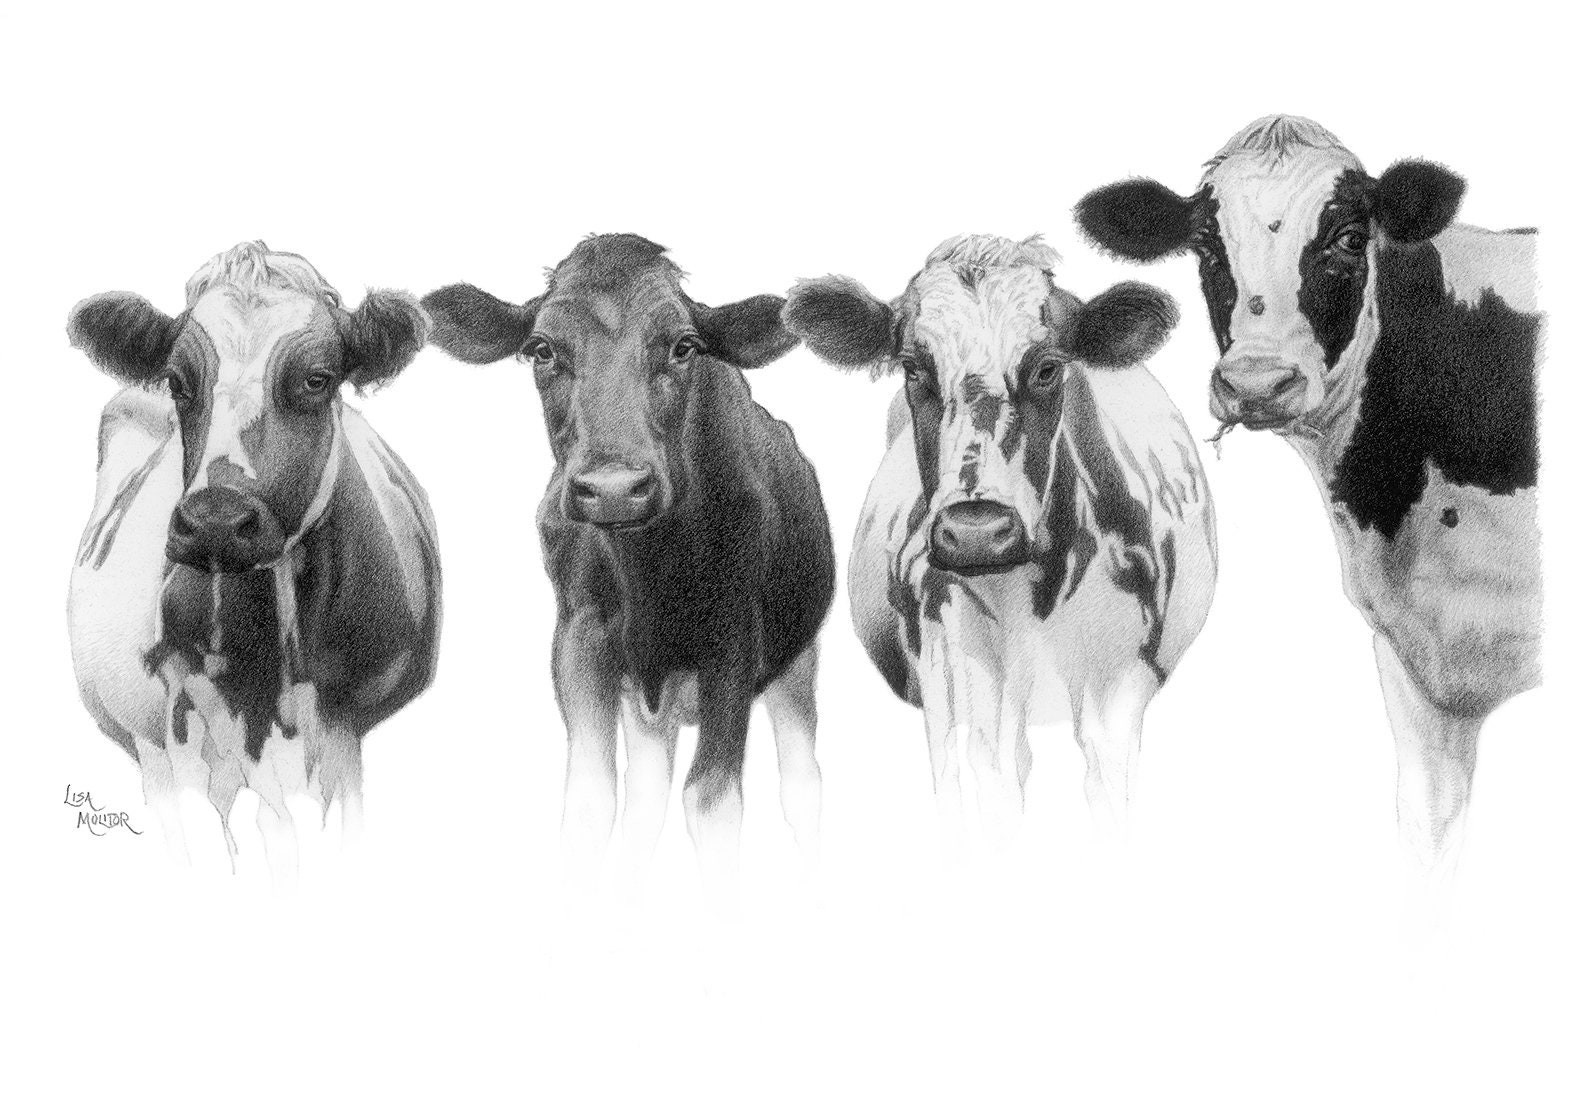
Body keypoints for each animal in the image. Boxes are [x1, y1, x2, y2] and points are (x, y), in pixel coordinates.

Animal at [67, 242, 440, 866]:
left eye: (317, 378)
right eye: (177, 380)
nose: (214, 524)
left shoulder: (345, 728)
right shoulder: (187, 729)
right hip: (150, 747)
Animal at [421, 234, 834, 881]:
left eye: (684, 345)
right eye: (541, 349)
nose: (614, 488)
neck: (650, 572)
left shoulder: (734, 640)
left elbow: (713, 801)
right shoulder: (579, 640)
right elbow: (591, 802)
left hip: (797, 656)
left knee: (802, 785)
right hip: (649, 702)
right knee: (647, 794)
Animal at [783, 235, 1216, 841]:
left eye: (1048, 368)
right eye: (913, 368)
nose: (977, 532)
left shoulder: (1125, 680)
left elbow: (1107, 789)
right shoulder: (953, 657)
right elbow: (988, 783)